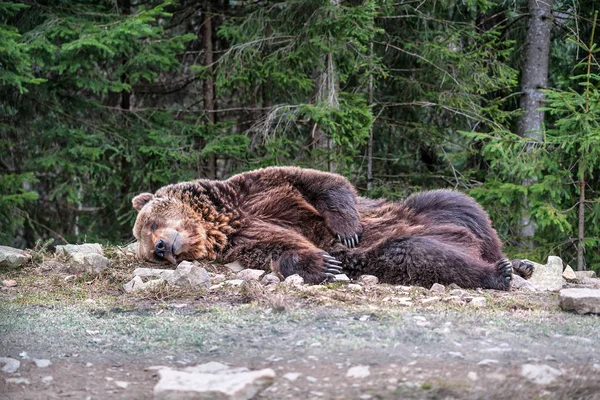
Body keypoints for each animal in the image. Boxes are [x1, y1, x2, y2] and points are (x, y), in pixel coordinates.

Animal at [130, 167, 528, 290]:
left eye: (150, 223)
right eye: (147, 247)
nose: (161, 249)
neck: (224, 219)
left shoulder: (255, 190)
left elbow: (320, 182)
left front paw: (347, 228)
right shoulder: (244, 239)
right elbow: (280, 248)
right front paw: (324, 263)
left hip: (427, 209)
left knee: (463, 206)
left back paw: (514, 264)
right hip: (393, 248)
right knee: (416, 252)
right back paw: (498, 271)